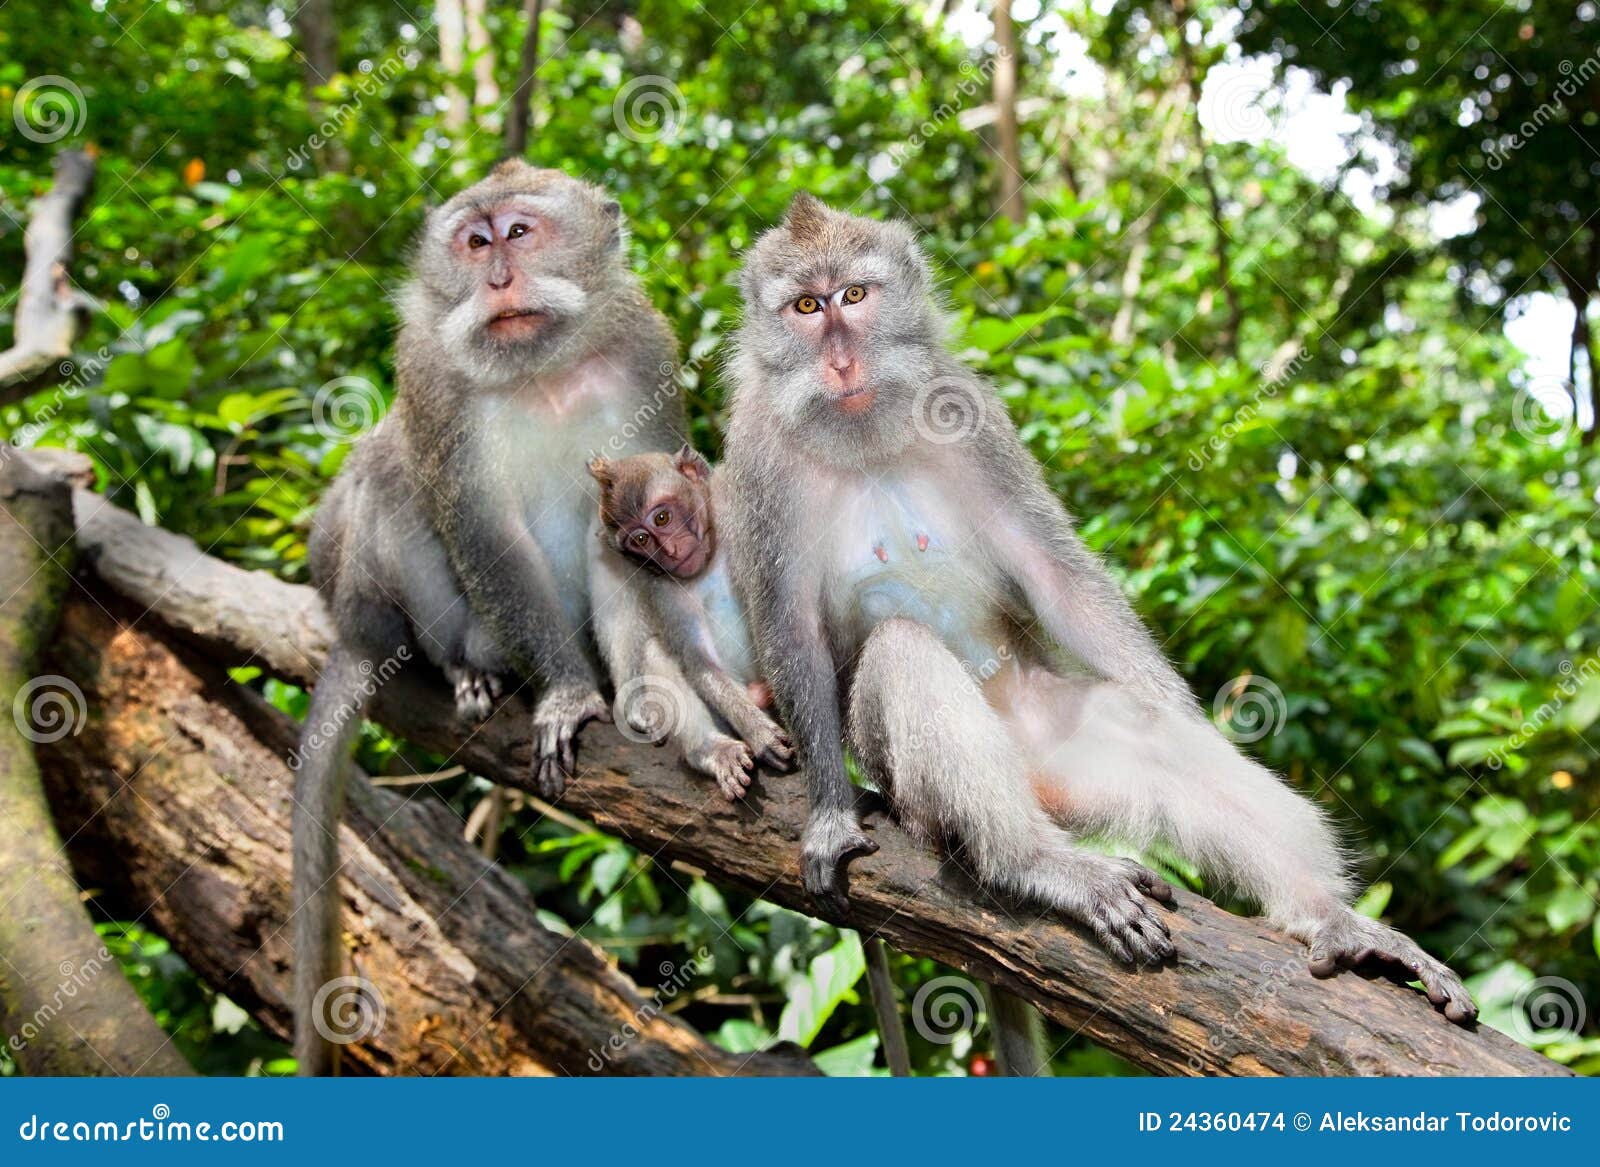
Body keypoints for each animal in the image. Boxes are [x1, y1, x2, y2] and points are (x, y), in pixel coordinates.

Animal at [293, 161, 684, 1074]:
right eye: (475, 241)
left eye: (520, 232)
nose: (498, 277)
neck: (541, 371)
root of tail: (354, 625)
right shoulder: (429, 369)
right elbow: (481, 529)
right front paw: (570, 692)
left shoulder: (645, 352)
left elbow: (639, 523)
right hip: (388, 600)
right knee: (391, 475)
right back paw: (469, 667)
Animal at [587, 445, 794, 798]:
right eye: (640, 540)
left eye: (662, 518)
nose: (669, 551)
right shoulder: (662, 588)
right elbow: (697, 660)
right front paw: (758, 733)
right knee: (656, 653)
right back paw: (712, 750)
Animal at [721, 193, 1477, 1030]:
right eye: (805, 307)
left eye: (853, 295)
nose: (842, 362)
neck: (861, 433)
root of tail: (1026, 766)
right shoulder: (753, 456)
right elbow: (791, 631)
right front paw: (828, 811)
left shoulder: (969, 409)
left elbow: (1057, 575)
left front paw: (1188, 709)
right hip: (921, 790)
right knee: (901, 654)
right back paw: (1037, 863)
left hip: (1065, 753)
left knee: (1158, 742)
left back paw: (1332, 919)